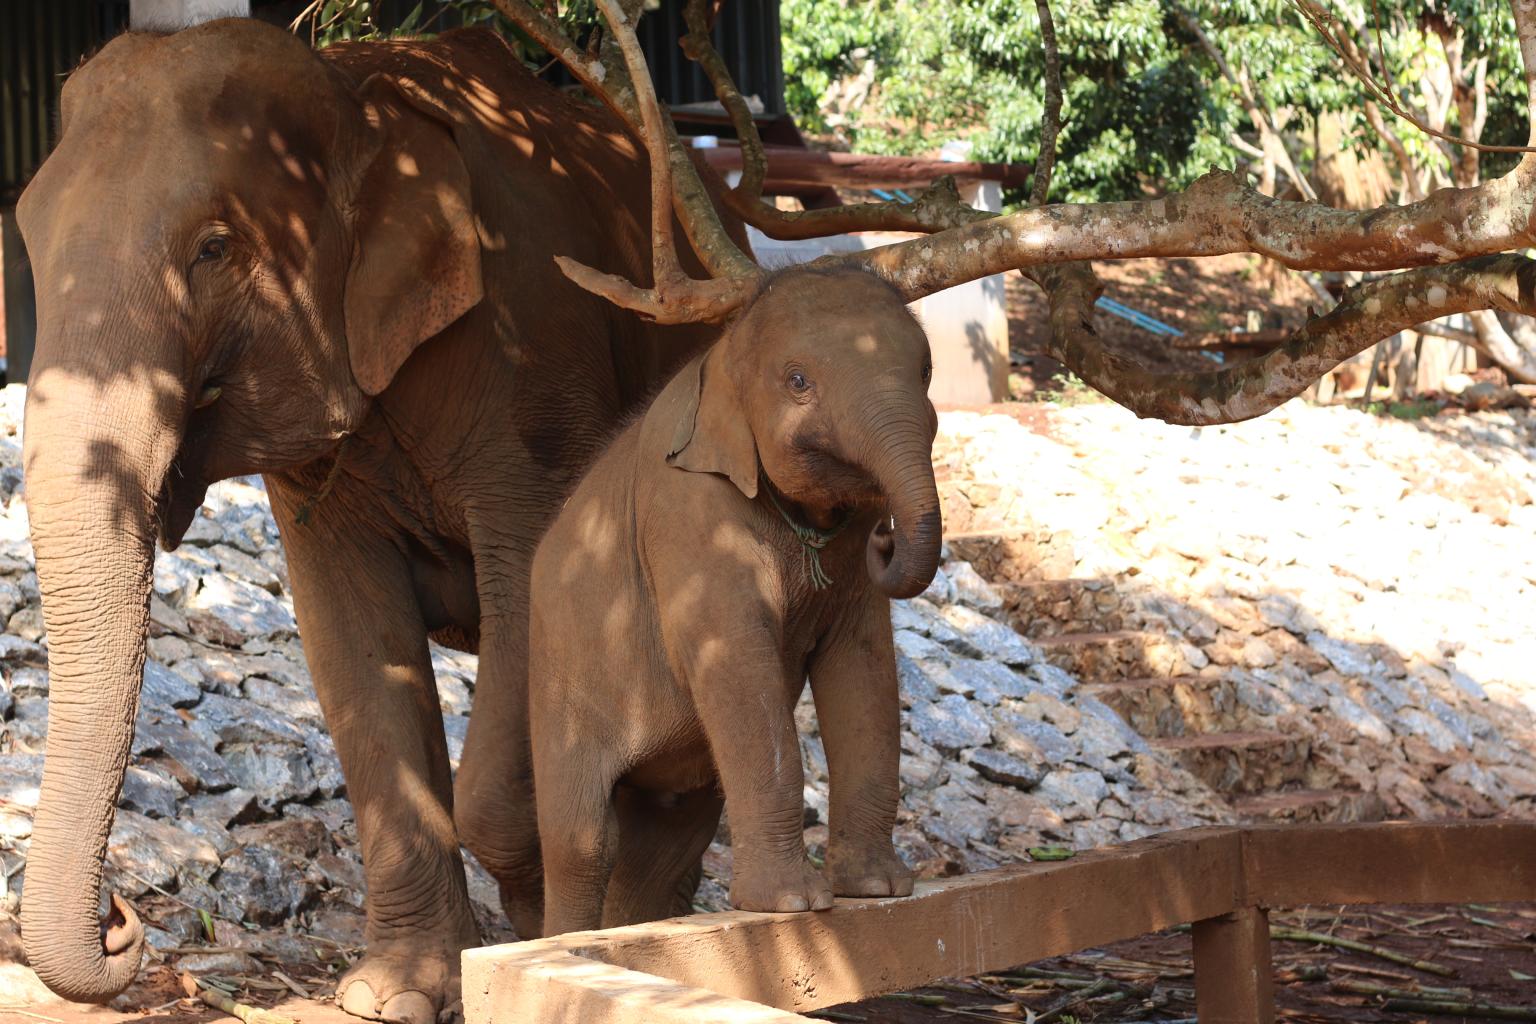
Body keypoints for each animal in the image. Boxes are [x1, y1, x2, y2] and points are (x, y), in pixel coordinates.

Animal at [13, 17, 737, 1022]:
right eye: (28, 239)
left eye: (213, 248)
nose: (123, 918)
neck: (357, 98)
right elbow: (352, 644)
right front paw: (392, 996)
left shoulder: (537, 360)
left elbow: (533, 599)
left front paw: (536, 929)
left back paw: (641, 926)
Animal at [527, 266, 940, 937]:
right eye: (798, 381)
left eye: (926, 371)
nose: (887, 536)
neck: (721, 352)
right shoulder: (687, 511)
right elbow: (738, 661)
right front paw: (793, 905)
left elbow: (863, 668)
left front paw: (878, 889)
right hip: (556, 684)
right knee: (583, 842)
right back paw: (573, 940)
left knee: (663, 844)